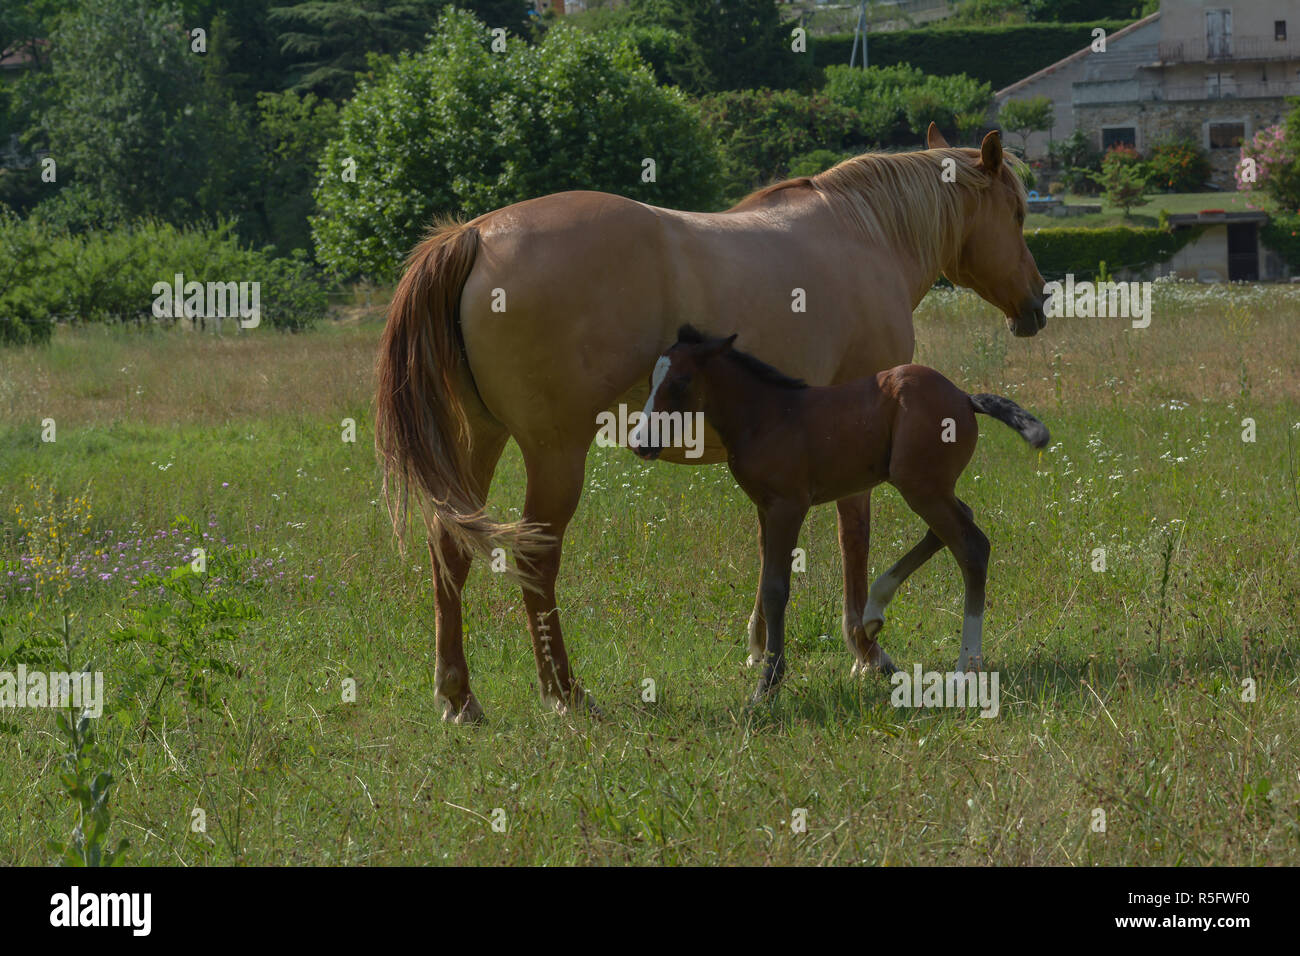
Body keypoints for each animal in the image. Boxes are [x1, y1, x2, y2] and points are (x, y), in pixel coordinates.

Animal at [632, 325, 1050, 701]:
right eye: (651, 380)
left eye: (681, 382)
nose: (640, 442)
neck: (766, 416)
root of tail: (965, 396)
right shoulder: (764, 509)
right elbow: (766, 582)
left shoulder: (787, 506)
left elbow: (775, 590)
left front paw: (767, 686)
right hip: (929, 486)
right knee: (959, 522)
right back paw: (874, 611)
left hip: (919, 484)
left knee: (971, 546)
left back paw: (966, 667)